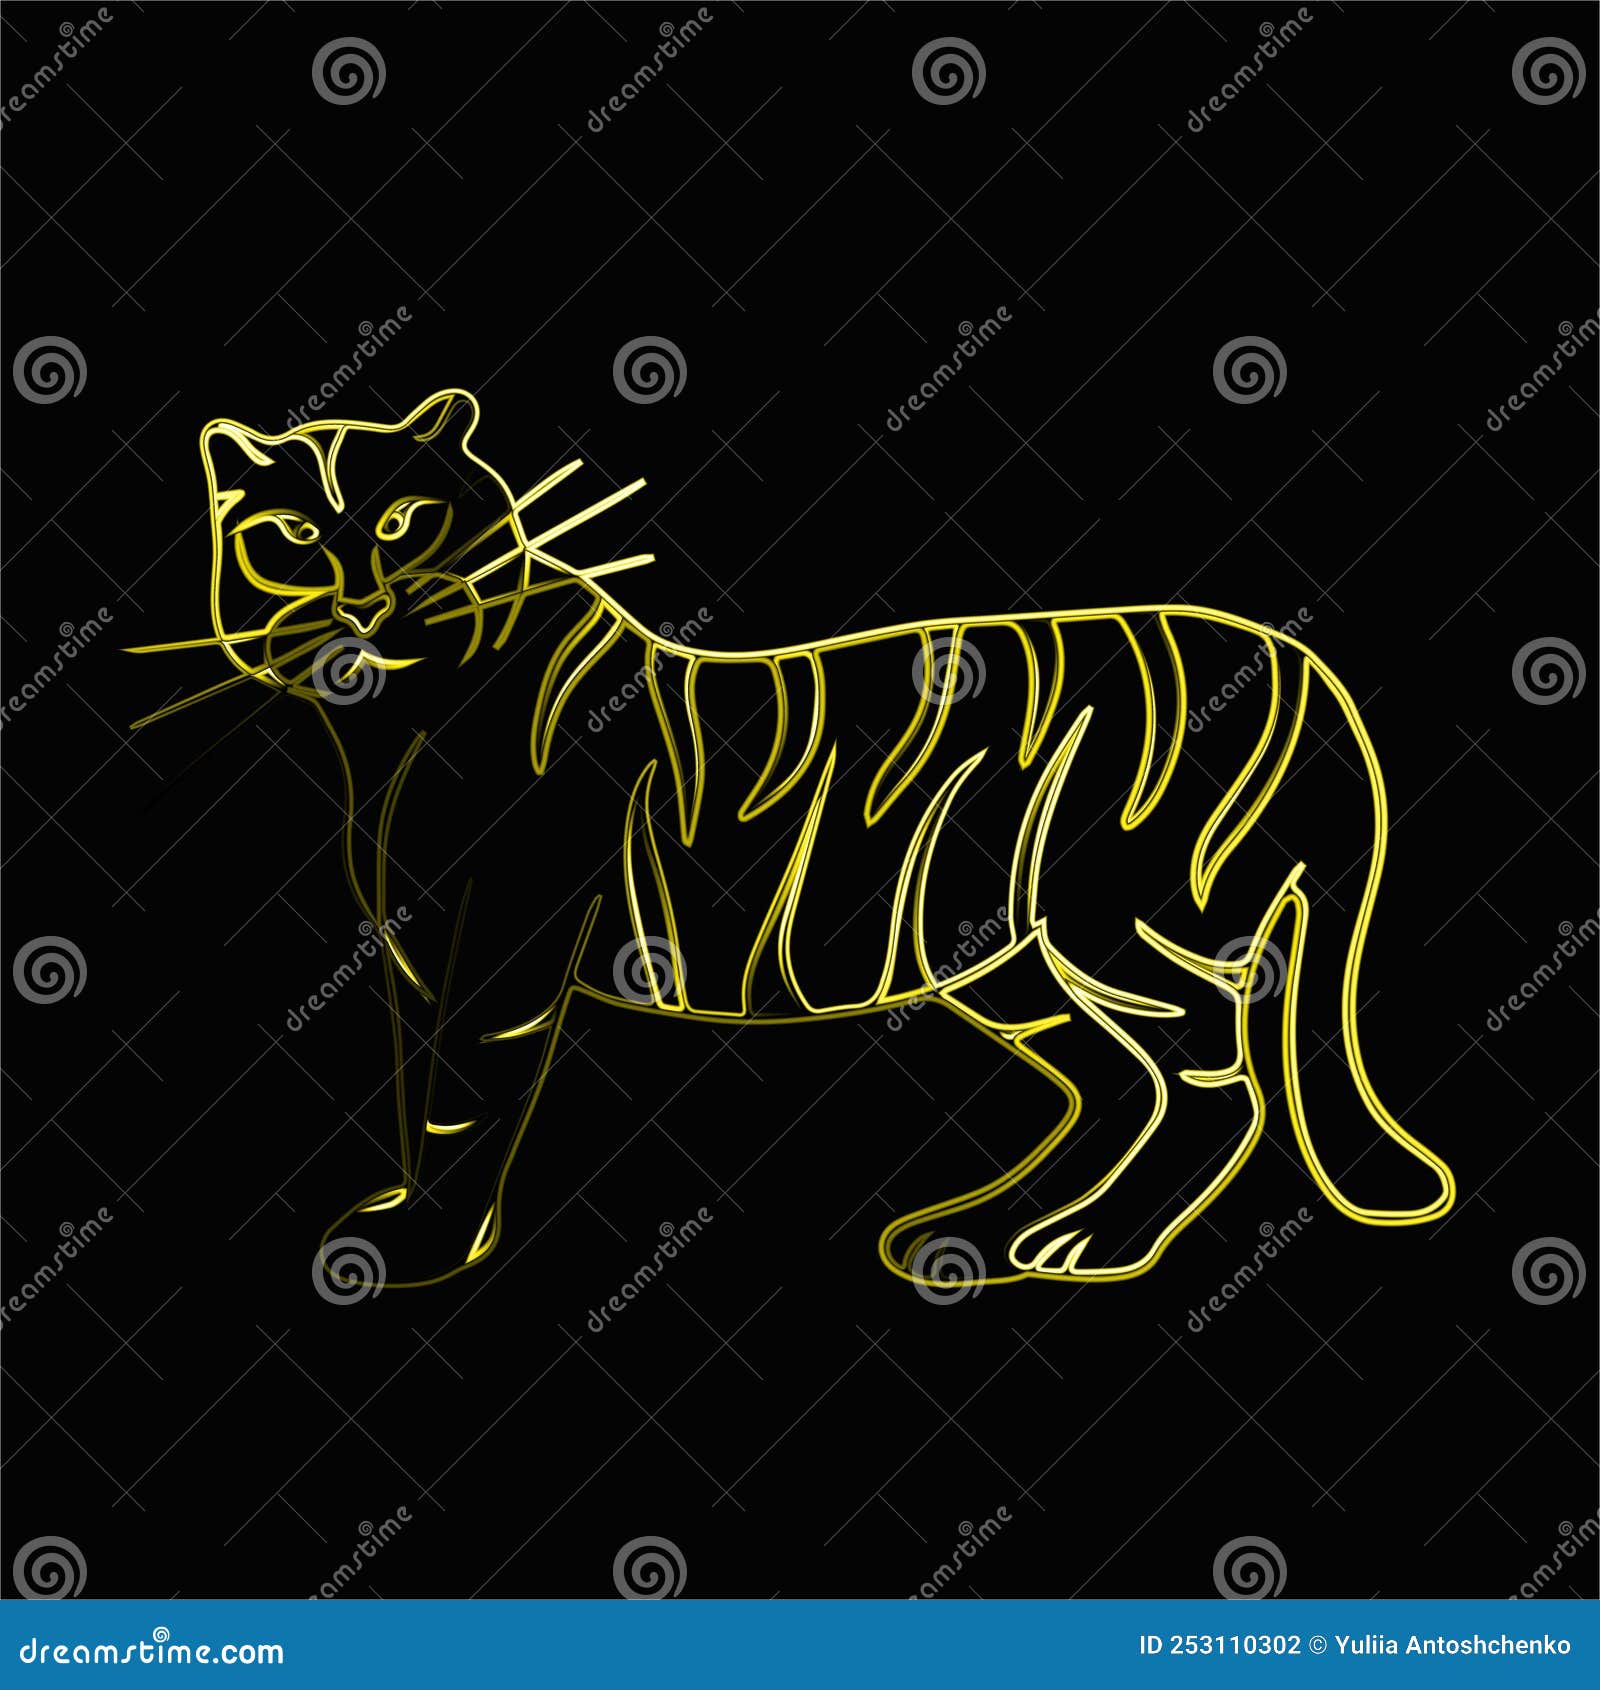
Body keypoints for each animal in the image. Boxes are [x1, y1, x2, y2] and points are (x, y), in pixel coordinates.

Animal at [130, 388, 1455, 1292]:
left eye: (406, 518)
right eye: (290, 539)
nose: (361, 598)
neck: (390, 722)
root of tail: (1291, 655)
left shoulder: (494, 941)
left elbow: (460, 1097)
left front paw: (408, 1249)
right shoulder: (415, 950)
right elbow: (414, 1084)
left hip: (1116, 927)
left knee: (1210, 1088)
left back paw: (1087, 1244)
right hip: (1006, 957)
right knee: (1113, 1082)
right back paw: (974, 1235)